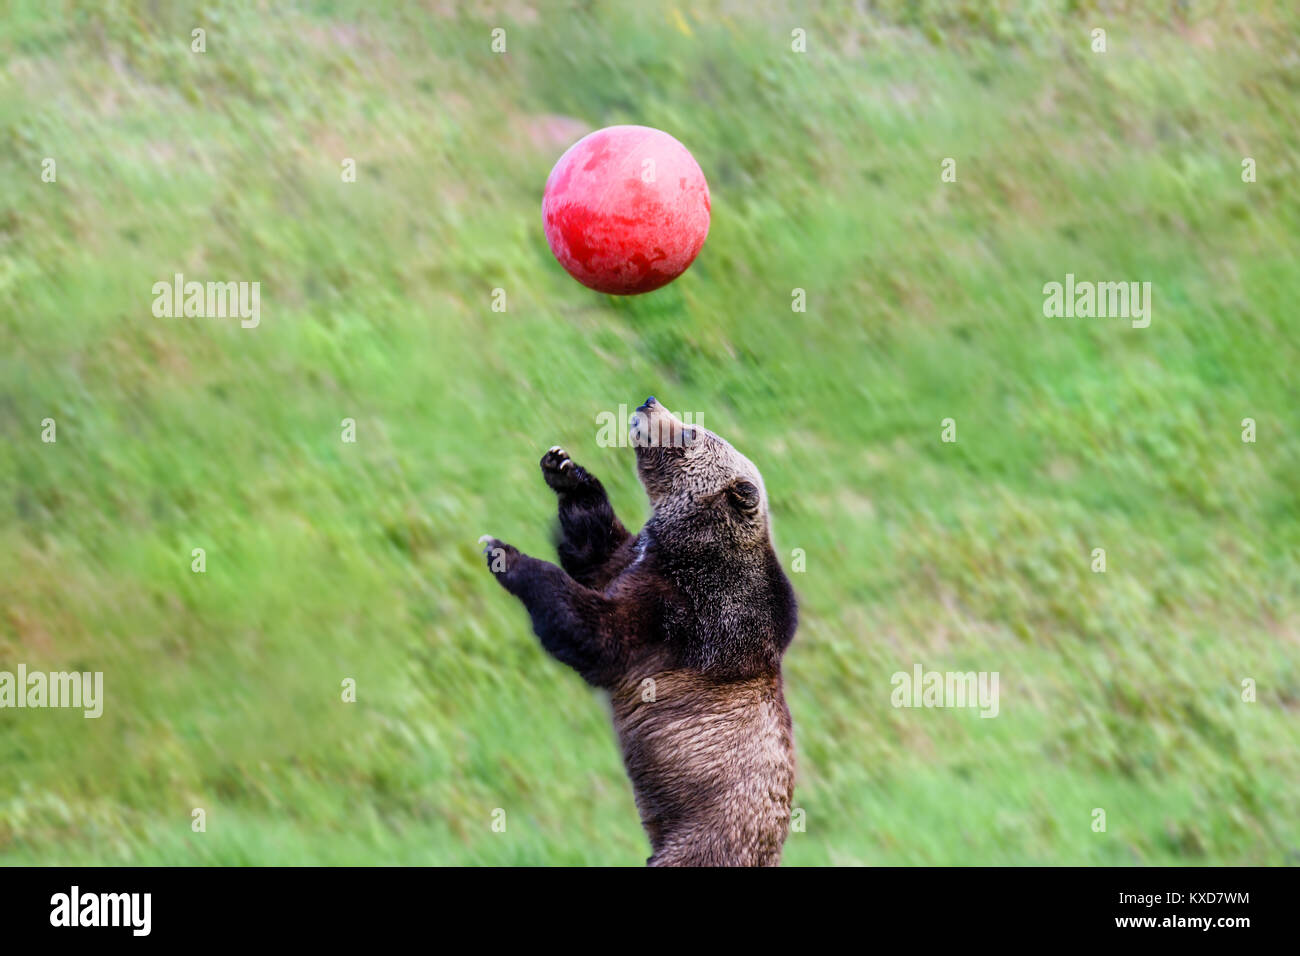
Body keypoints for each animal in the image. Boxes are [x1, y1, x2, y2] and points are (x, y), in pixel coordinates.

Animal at [479, 396, 798, 866]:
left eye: (691, 433)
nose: (649, 402)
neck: (690, 547)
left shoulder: (688, 617)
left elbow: (598, 636)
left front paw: (505, 553)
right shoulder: (638, 563)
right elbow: (595, 551)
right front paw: (565, 469)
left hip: (702, 841)